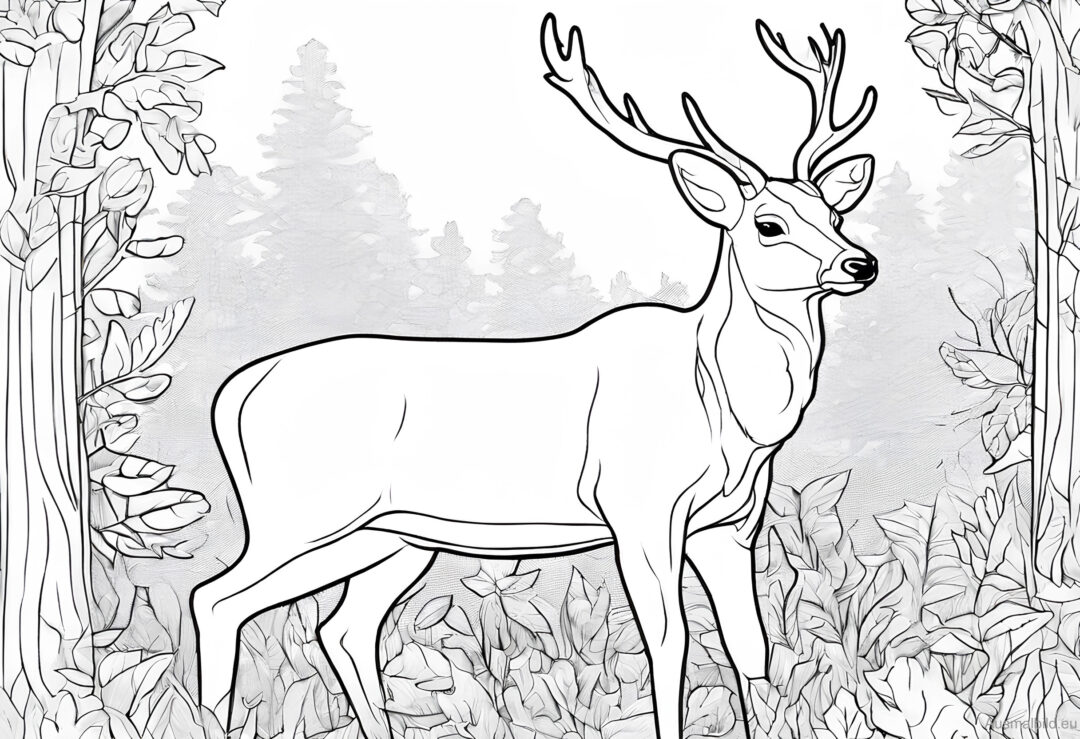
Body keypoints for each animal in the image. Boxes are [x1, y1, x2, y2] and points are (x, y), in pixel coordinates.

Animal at [192, 13, 877, 739]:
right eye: (768, 225)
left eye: (834, 214)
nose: (860, 263)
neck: (731, 415)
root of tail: (232, 394)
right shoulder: (637, 506)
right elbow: (670, 641)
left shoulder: (731, 525)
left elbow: (751, 649)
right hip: (299, 513)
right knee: (216, 597)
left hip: (389, 535)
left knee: (341, 626)